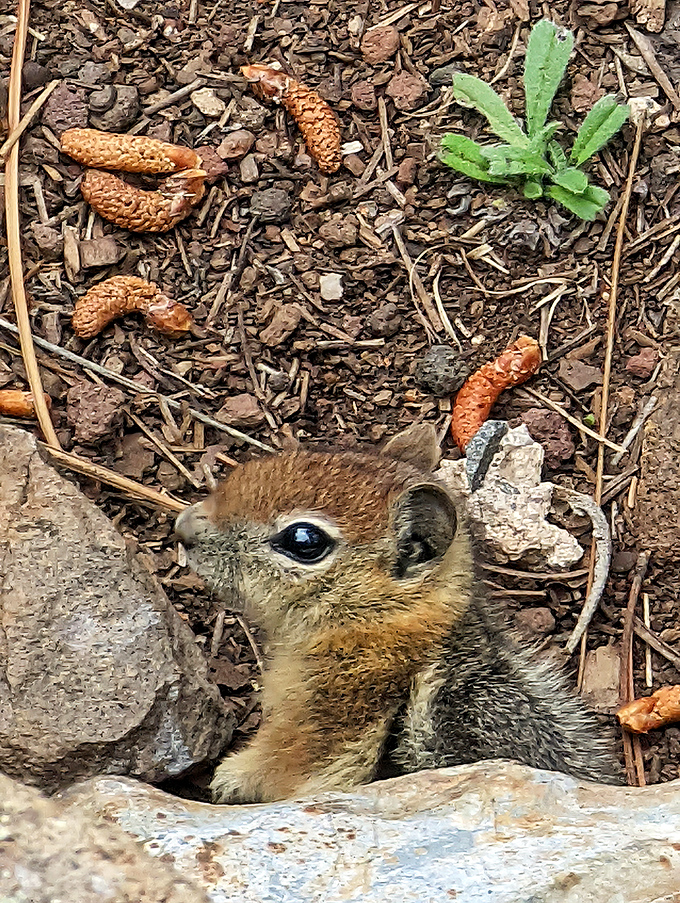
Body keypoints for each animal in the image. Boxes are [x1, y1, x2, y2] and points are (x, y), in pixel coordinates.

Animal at [175, 423, 620, 803]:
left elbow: (283, 766)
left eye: (304, 540)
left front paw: (230, 778)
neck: (385, 624)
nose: (183, 528)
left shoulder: (332, 719)